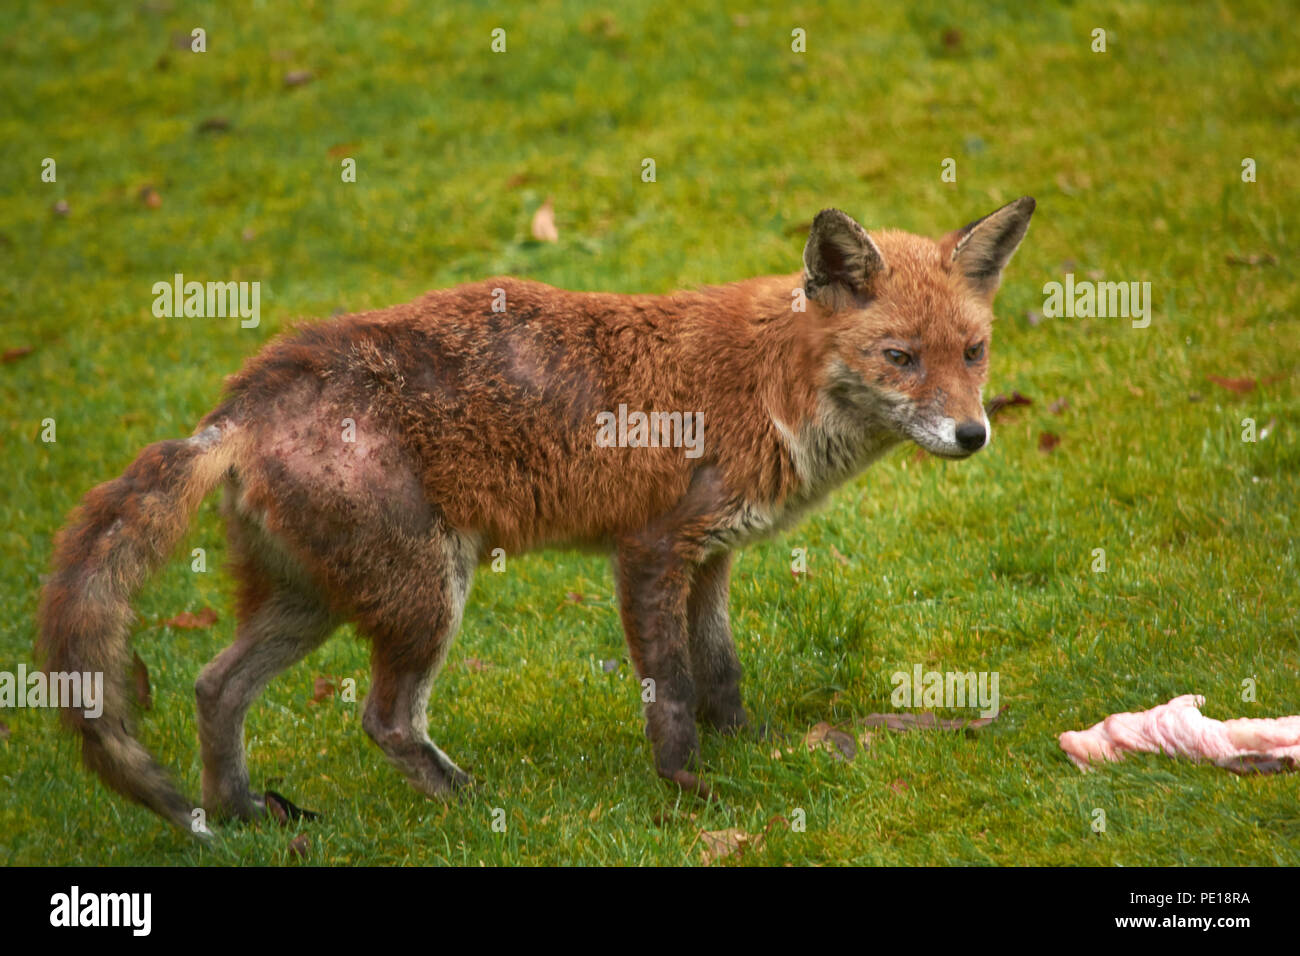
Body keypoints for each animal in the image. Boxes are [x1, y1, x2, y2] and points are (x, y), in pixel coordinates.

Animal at [37, 197, 1035, 834]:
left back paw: (244, 817)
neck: (770, 384)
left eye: (973, 352)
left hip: (316, 600)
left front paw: (752, 749)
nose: (974, 433)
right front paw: (686, 790)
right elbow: (672, 691)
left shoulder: (712, 557)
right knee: (384, 720)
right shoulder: (649, 551)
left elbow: (721, 671)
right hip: (426, 594)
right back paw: (477, 807)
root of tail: (242, 399)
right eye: (900, 356)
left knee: (216, 687)